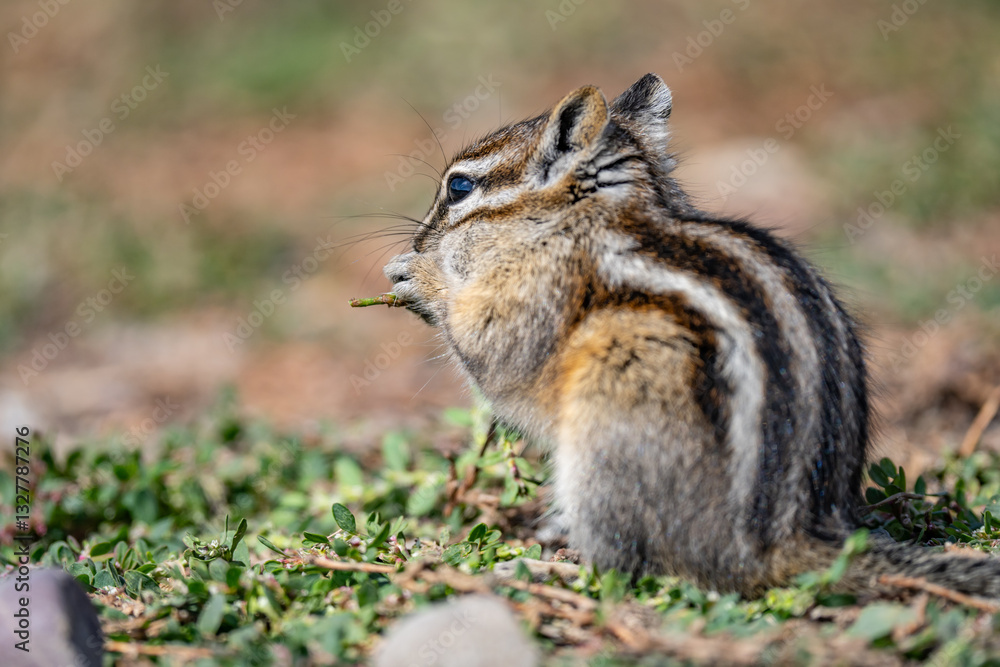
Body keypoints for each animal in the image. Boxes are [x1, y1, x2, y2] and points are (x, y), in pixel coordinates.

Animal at [380, 73, 1000, 598]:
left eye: (460, 187)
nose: (417, 243)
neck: (586, 223)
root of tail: (783, 545)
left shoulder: (537, 294)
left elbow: (493, 354)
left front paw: (419, 278)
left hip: (610, 430)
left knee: (625, 567)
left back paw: (538, 569)